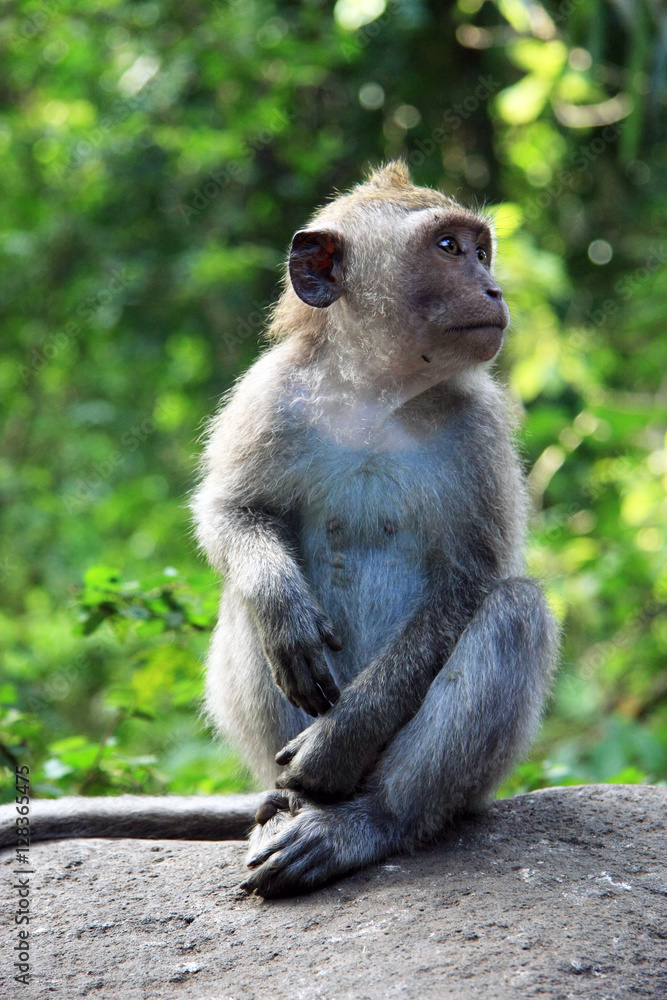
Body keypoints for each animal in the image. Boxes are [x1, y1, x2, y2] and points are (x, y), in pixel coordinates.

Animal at [190, 161, 559, 898]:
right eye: (448, 248)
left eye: (481, 250)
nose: (493, 289)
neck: (375, 395)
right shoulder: (268, 393)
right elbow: (232, 514)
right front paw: (284, 609)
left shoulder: (481, 429)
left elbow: (469, 581)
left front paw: (338, 742)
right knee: (247, 605)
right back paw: (284, 799)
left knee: (514, 610)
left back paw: (363, 822)